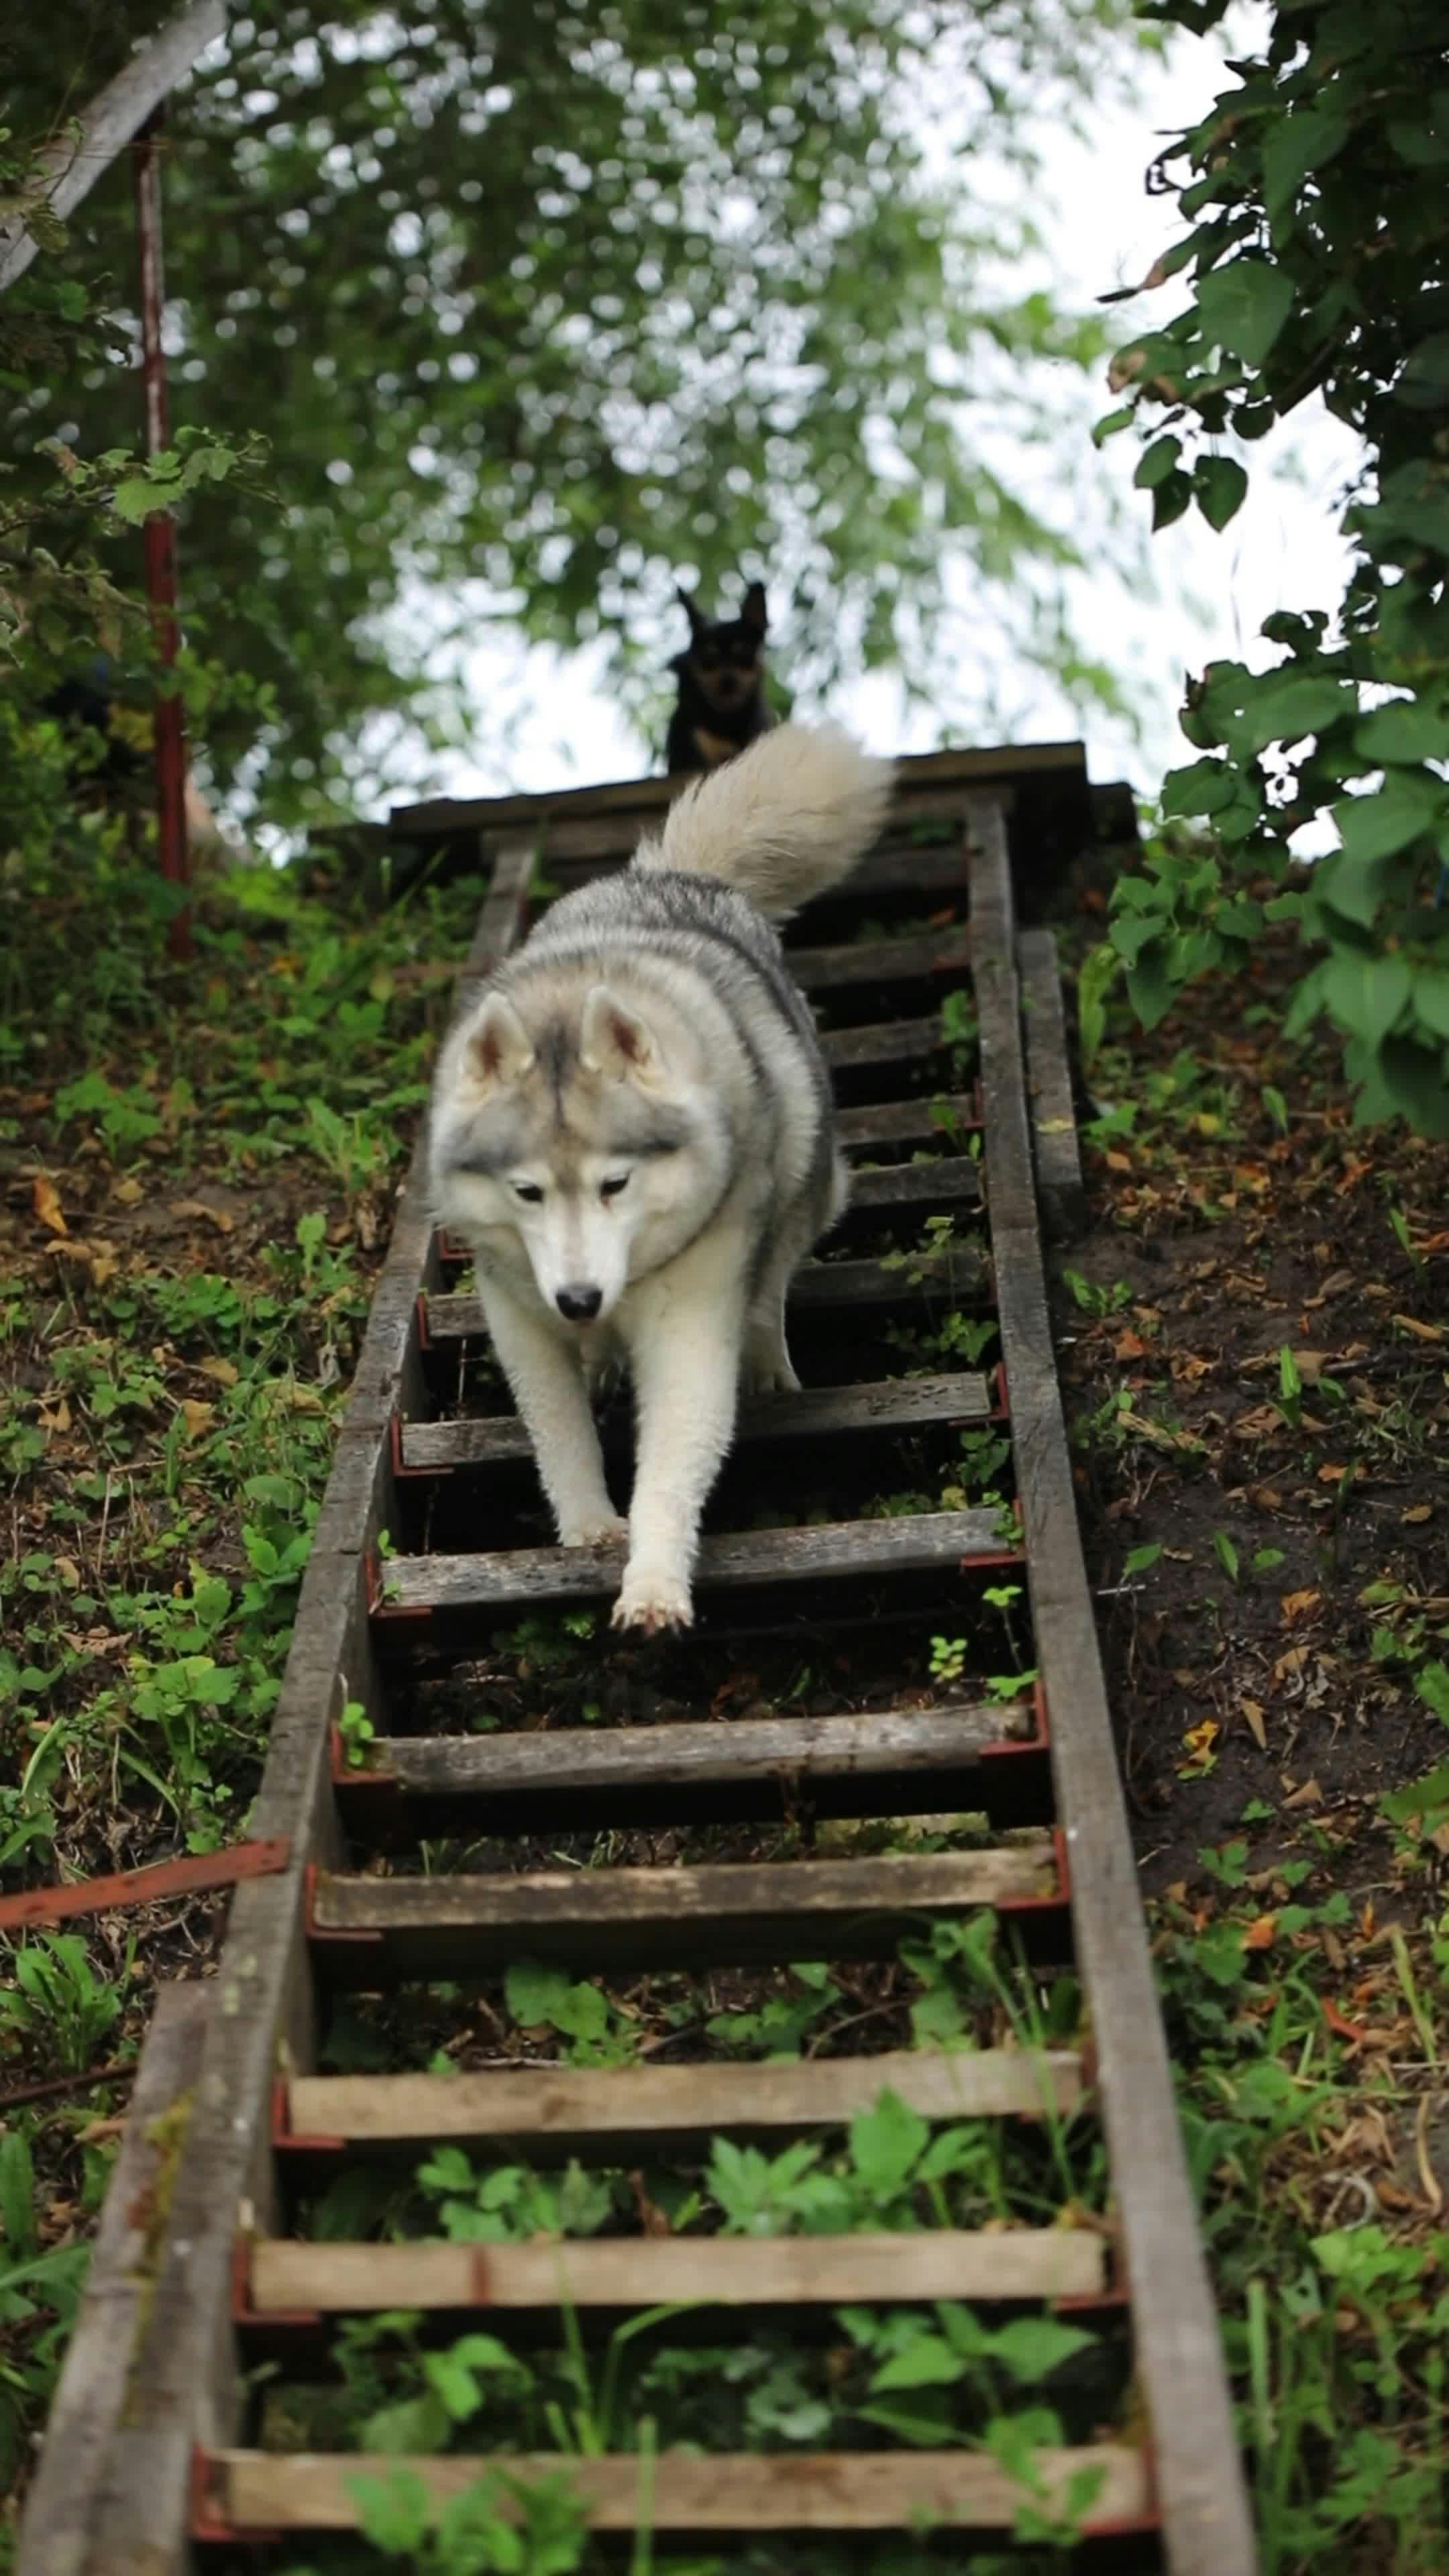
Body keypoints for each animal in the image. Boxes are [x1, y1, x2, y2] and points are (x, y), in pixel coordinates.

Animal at [429, 722, 895, 1634]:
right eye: (527, 1193)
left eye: (616, 1185)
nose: (579, 1298)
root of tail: (673, 875)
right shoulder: (516, 1305)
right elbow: (559, 1429)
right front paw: (587, 1524)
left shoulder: (690, 1312)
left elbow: (676, 1450)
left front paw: (652, 1582)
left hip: (805, 1180)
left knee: (772, 1281)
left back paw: (764, 1359)